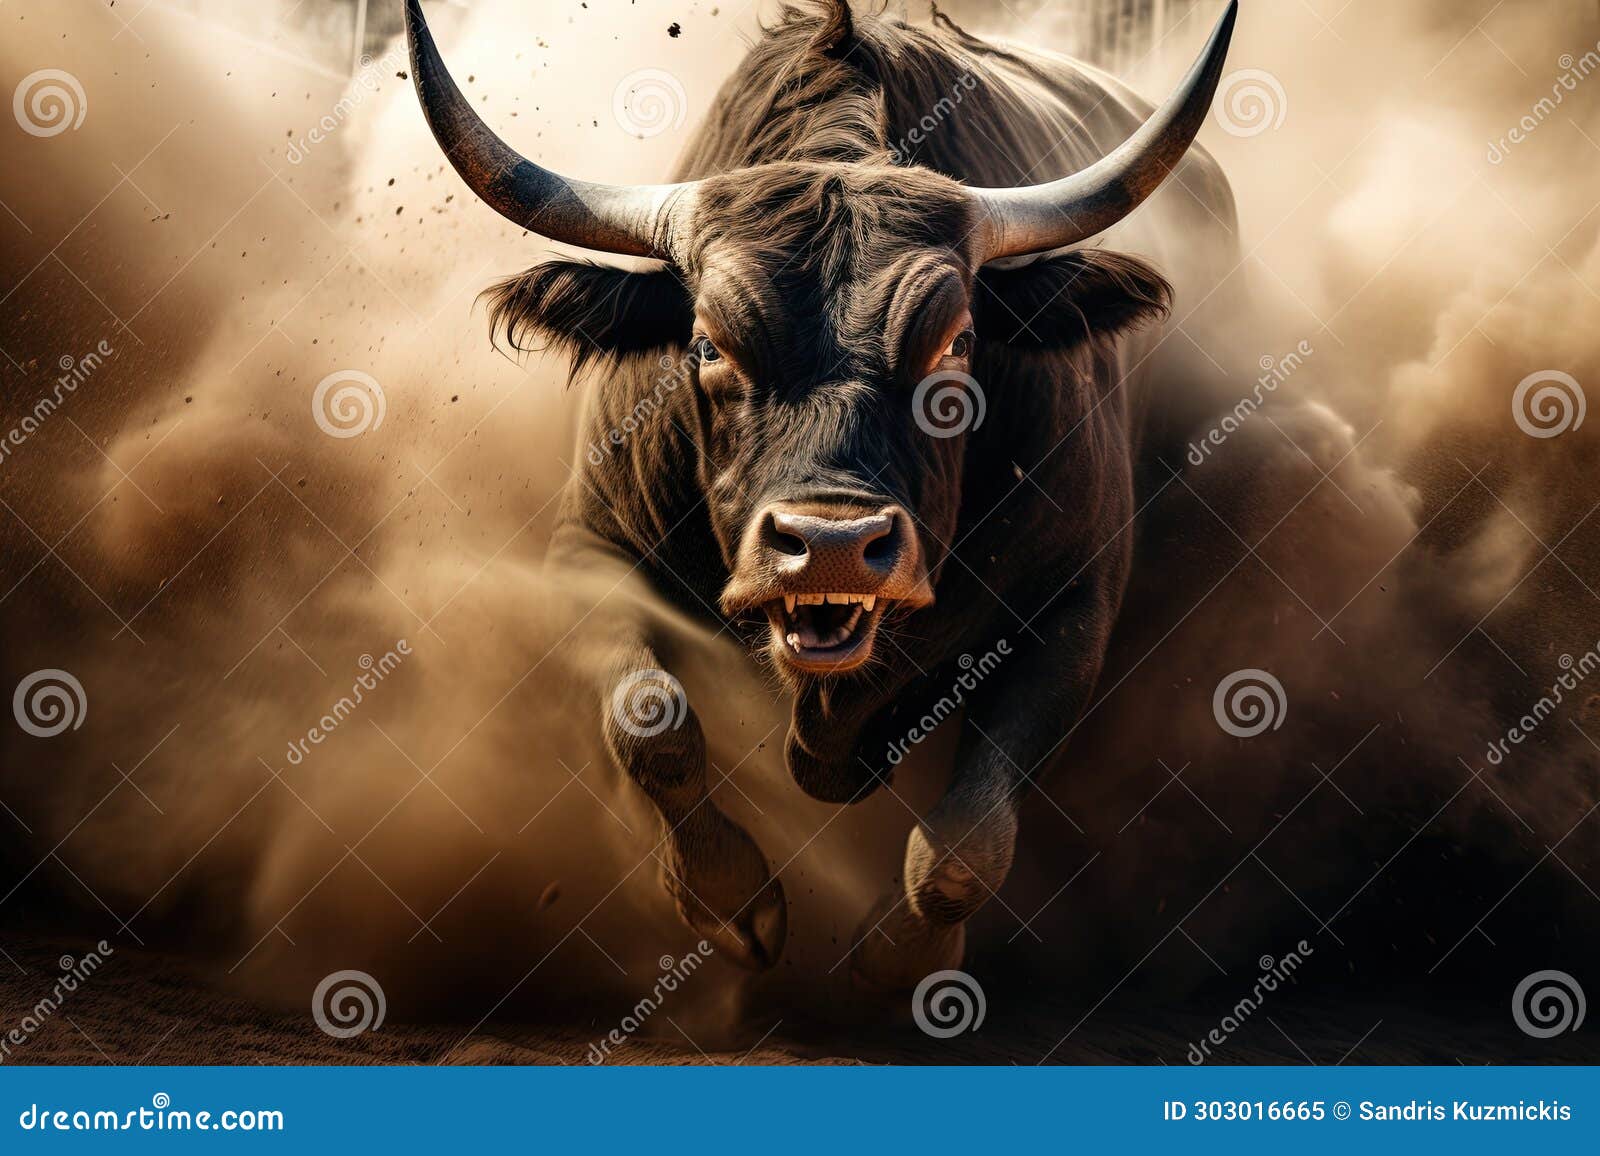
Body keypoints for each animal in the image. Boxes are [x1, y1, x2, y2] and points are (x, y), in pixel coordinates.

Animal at [404, 0, 1241, 987]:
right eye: (708, 343)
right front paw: (732, 902)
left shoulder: (1075, 604)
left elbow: (965, 844)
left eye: (958, 342)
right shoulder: (591, 547)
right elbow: (649, 721)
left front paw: (895, 960)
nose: (833, 547)